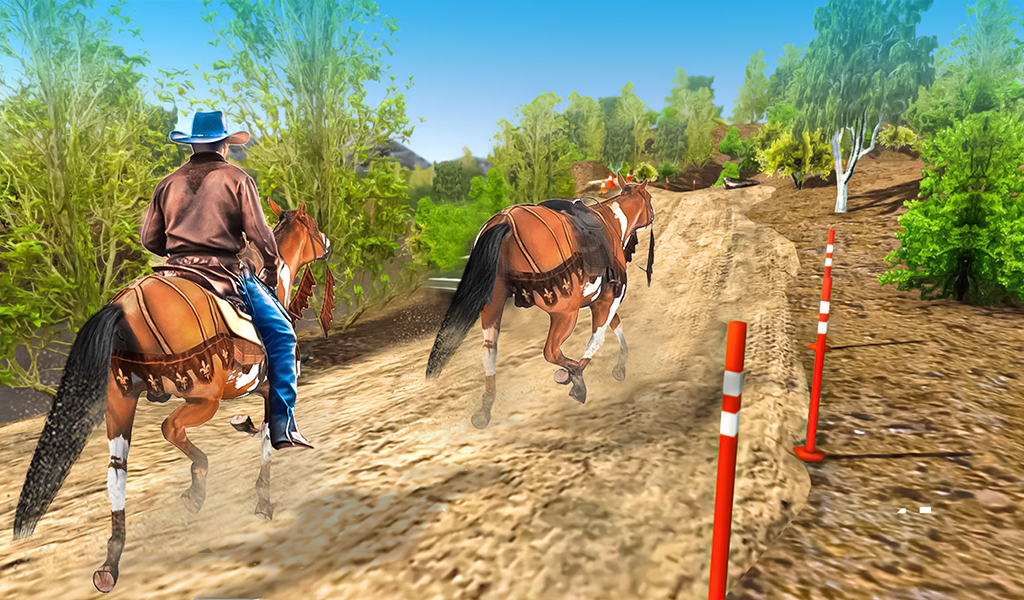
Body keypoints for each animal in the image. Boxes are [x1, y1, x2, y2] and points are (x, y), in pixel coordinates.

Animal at [12, 199, 331, 593]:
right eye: (313, 225)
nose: (327, 243)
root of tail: (125, 304)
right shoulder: (270, 386)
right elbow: (271, 437)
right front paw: (263, 500)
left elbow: (260, 433)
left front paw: (244, 430)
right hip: (202, 398)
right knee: (171, 429)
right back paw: (195, 492)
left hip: (120, 402)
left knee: (117, 471)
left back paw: (110, 563)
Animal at [426, 173, 655, 428]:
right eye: (650, 198)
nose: (653, 213)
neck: (613, 224)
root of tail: (505, 220)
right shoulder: (608, 298)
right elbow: (598, 337)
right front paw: (578, 375)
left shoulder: (598, 301)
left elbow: (613, 325)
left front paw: (620, 364)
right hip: (565, 313)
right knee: (551, 351)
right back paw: (576, 380)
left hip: (493, 303)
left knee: (489, 352)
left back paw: (486, 408)